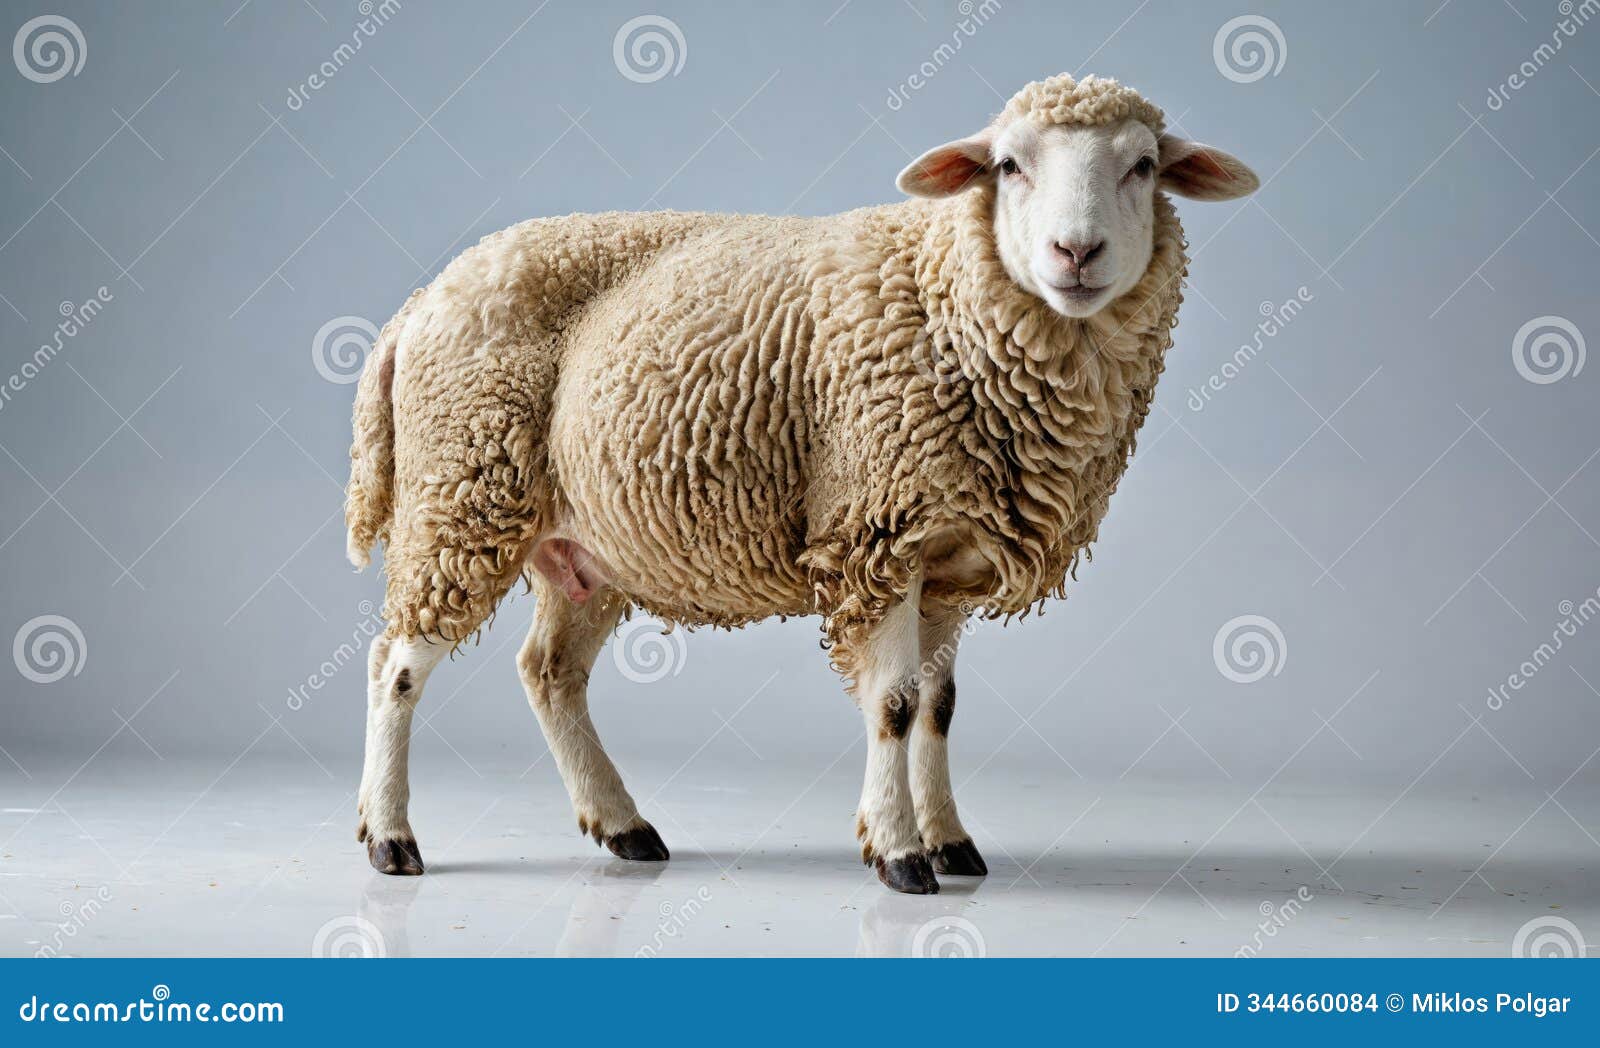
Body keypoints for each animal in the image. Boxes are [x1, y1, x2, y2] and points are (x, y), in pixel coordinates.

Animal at [345, 73, 1259, 893]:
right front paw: (898, 852)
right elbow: (893, 705)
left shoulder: (946, 560)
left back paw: (622, 824)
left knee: (548, 672)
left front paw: (950, 840)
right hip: (462, 490)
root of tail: (426, 298)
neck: (949, 304)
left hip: (581, 546)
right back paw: (390, 837)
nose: (1076, 252)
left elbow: (939, 708)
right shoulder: (877, 533)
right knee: (395, 665)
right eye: (1008, 165)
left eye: (1143, 165)